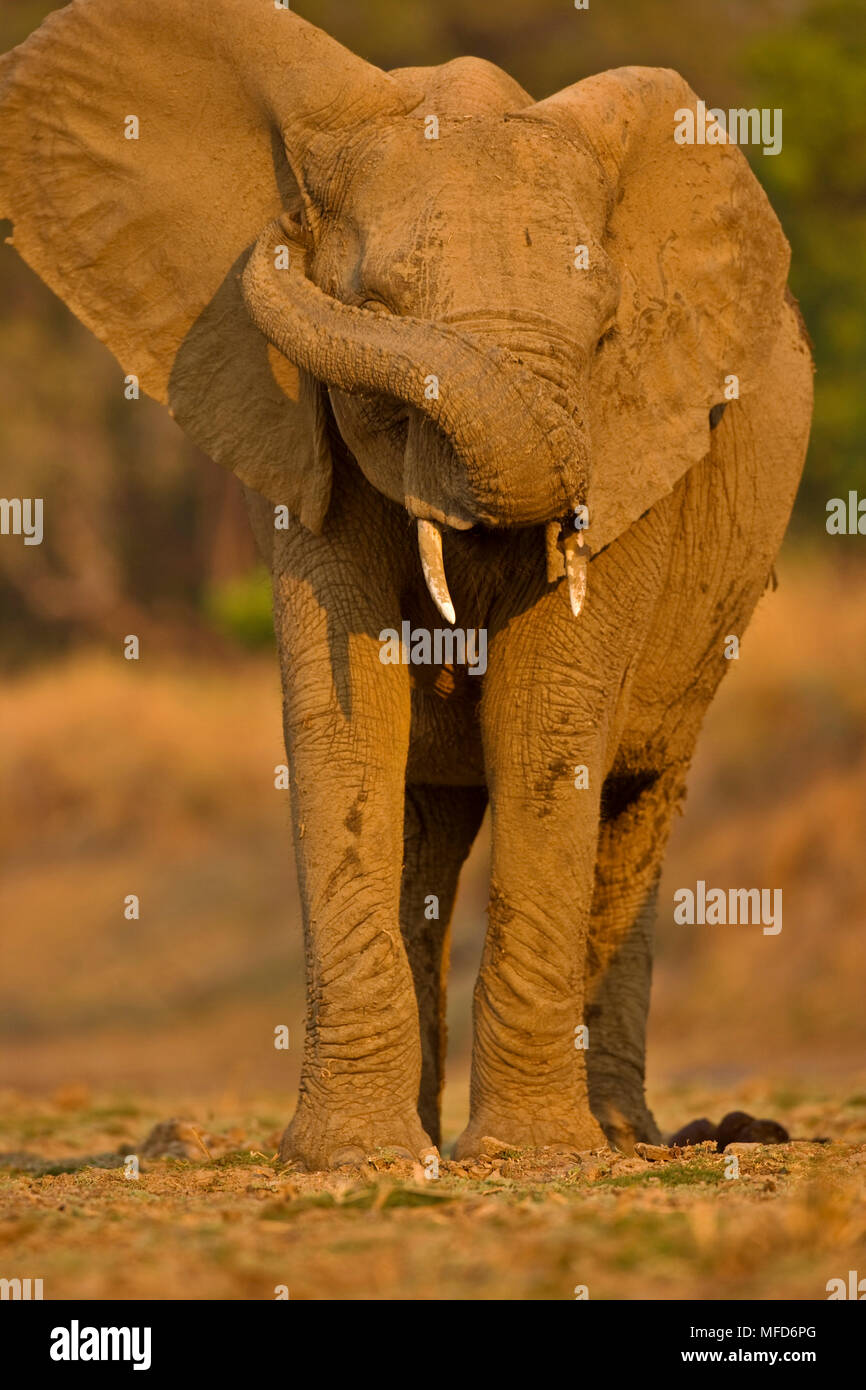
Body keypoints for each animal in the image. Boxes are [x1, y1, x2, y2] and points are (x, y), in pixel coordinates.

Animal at [0, 0, 812, 1170]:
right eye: (376, 305)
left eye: (606, 331)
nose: (282, 237)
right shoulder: (298, 432)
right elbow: (346, 718)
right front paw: (355, 1160)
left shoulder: (636, 441)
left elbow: (546, 712)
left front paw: (530, 1160)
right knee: (427, 831)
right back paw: (436, 1133)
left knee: (635, 800)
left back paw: (628, 1138)